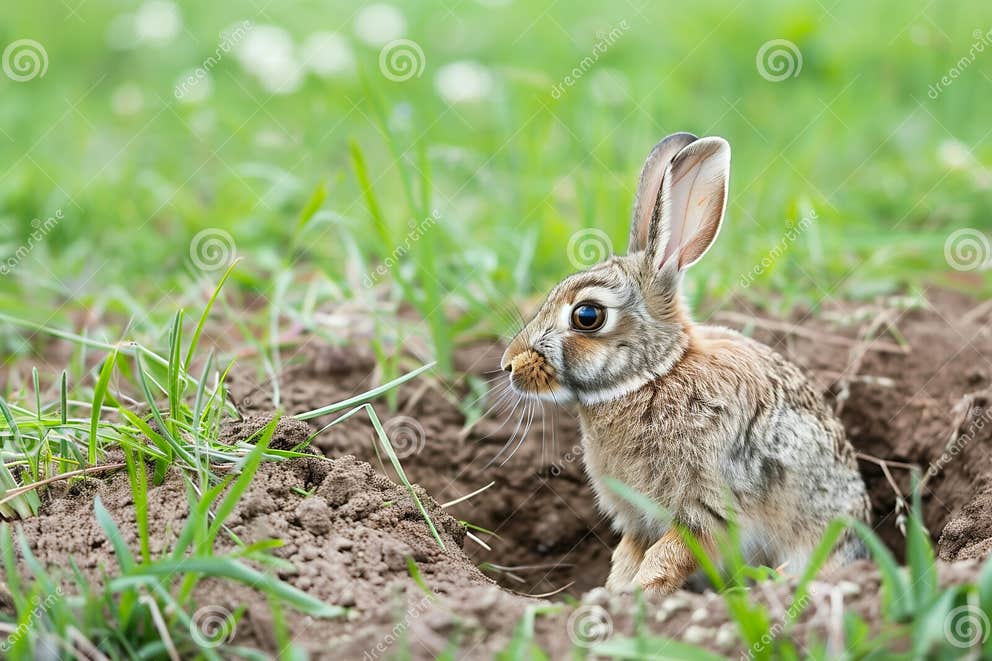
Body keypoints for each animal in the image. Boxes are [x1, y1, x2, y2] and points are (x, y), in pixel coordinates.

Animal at [500, 132, 870, 595]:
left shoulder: (707, 506)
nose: (509, 365)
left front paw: (642, 594)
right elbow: (629, 553)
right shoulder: (637, 519)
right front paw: (614, 592)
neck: (655, 375)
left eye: (587, 315)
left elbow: (671, 554)